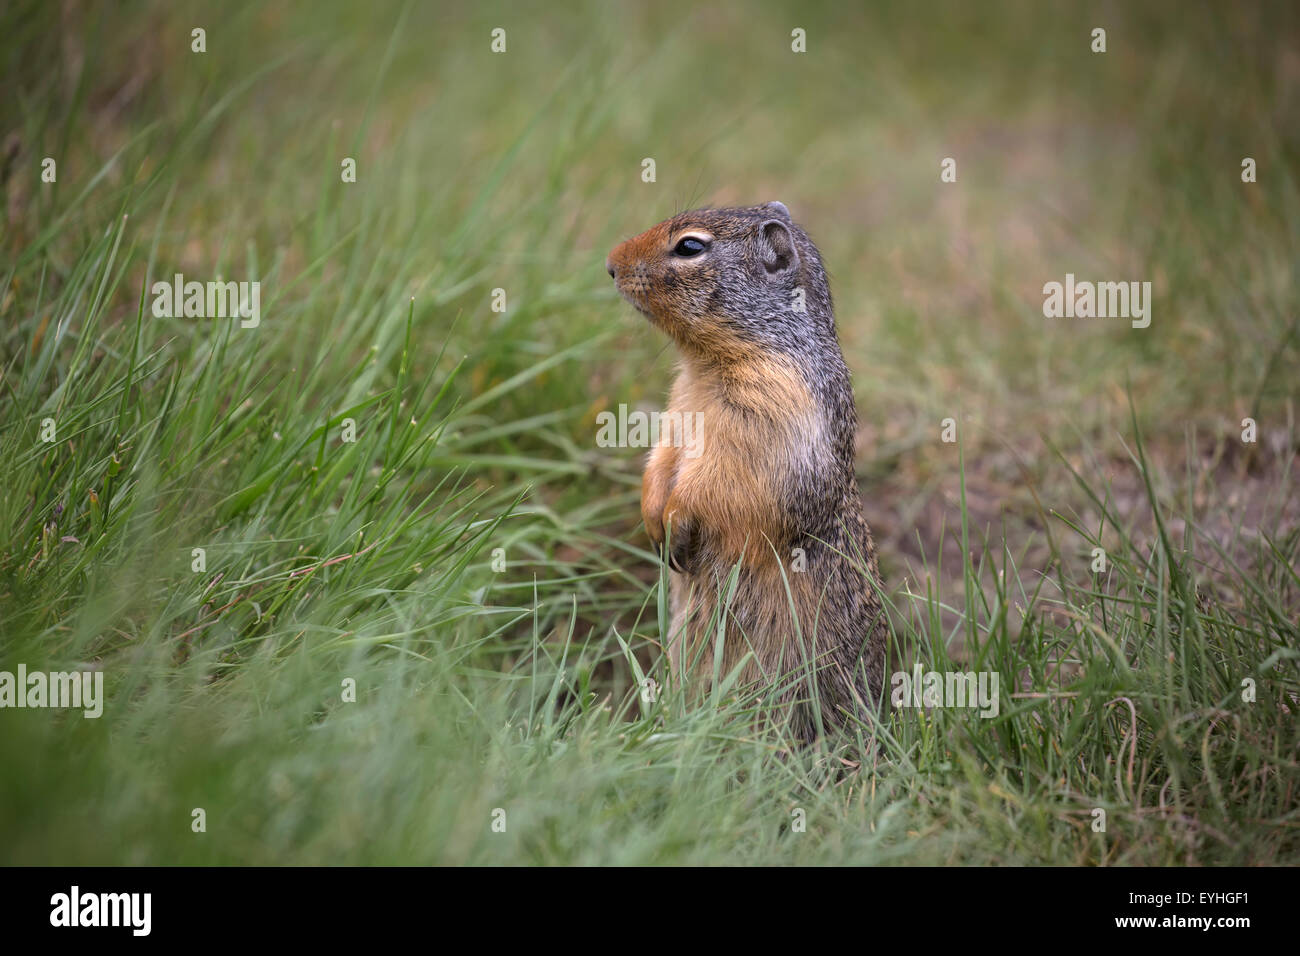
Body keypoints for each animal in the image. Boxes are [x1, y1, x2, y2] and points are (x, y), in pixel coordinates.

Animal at [606, 201, 886, 741]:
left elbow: (719, 478)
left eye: (690, 246)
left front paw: (675, 518)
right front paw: (653, 515)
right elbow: (663, 457)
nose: (610, 264)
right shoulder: (679, 410)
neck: (705, 365)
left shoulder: (768, 411)